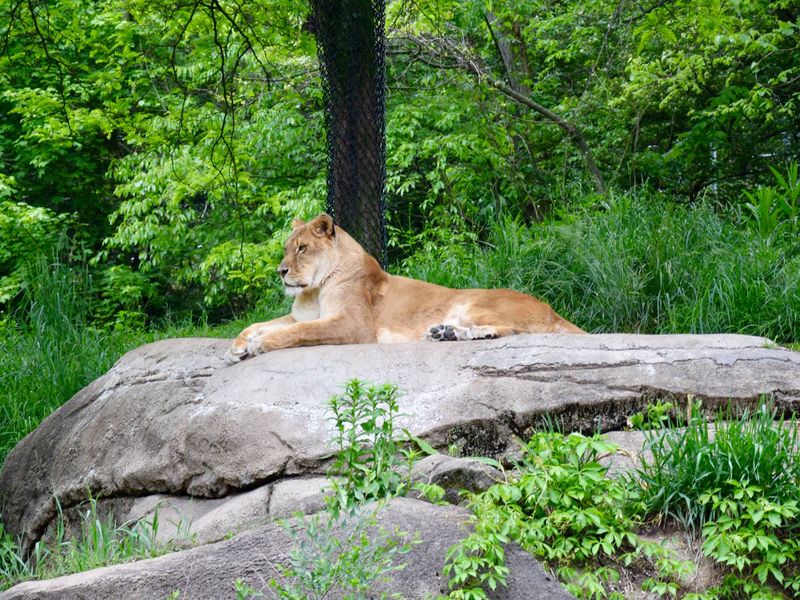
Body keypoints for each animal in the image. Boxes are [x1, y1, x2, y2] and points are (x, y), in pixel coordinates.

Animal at [225, 213, 584, 363]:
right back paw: (444, 333)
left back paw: (456, 333)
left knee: (511, 331)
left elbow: (296, 333)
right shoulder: (302, 315)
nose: (281, 271)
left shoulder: (353, 325)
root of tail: (551, 309)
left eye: (302, 248)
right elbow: (259, 323)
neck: (312, 290)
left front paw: (260, 345)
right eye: (287, 248)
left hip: (474, 303)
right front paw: (239, 345)